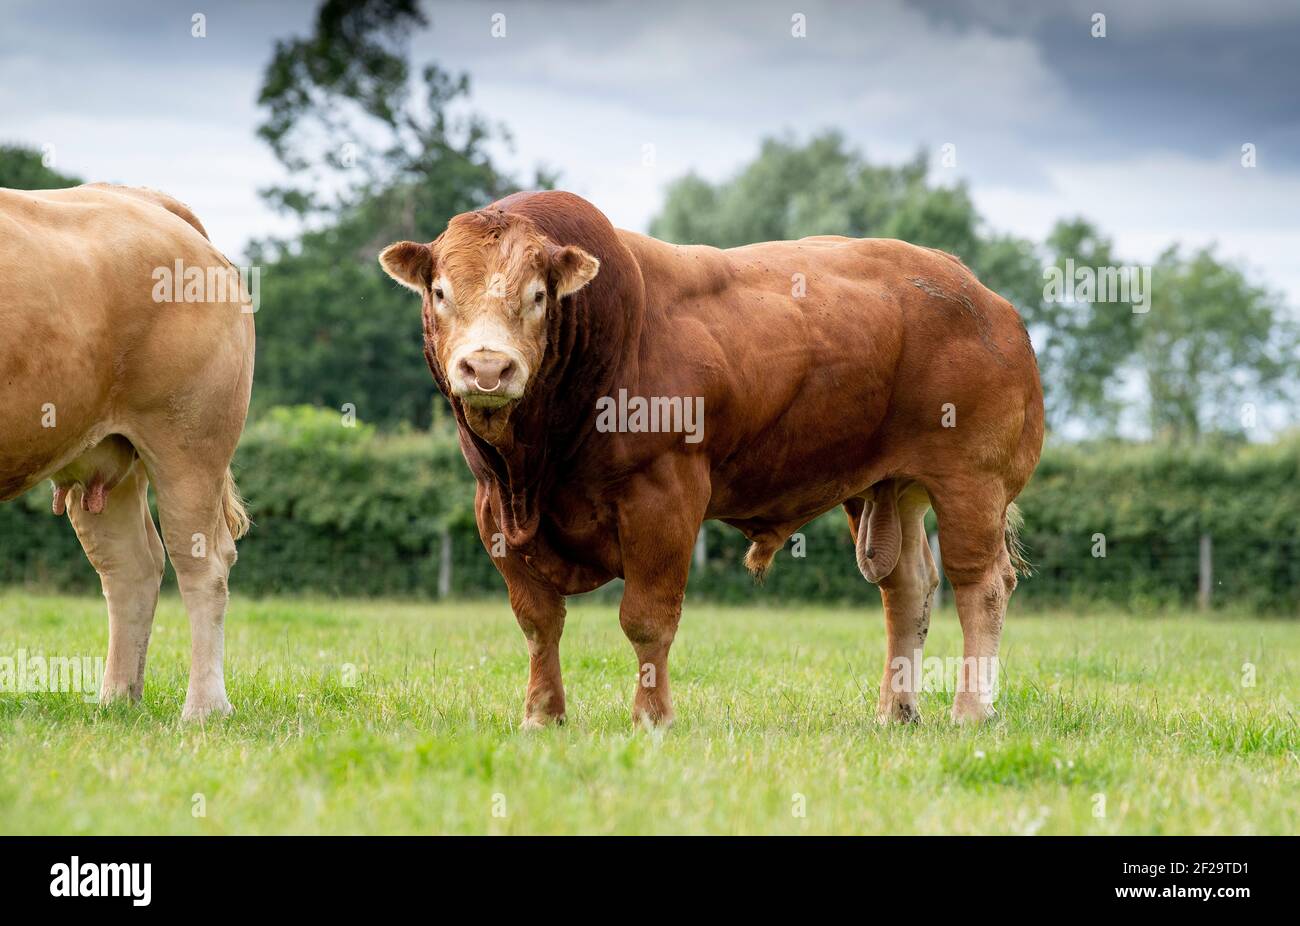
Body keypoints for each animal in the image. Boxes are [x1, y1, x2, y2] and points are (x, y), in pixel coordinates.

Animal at [0, 183, 254, 720]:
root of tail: (144, 198)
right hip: (106, 454)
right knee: (132, 565)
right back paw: (117, 699)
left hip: (188, 443)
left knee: (203, 563)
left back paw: (203, 709)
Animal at [380, 190, 1043, 728]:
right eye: (440, 292)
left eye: (538, 294)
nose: (488, 368)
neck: (535, 466)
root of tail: (982, 294)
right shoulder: (493, 509)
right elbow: (538, 621)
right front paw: (542, 716)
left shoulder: (663, 498)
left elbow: (647, 619)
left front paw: (652, 718)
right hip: (890, 487)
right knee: (907, 587)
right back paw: (895, 712)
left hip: (970, 480)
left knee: (980, 584)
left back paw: (971, 710)